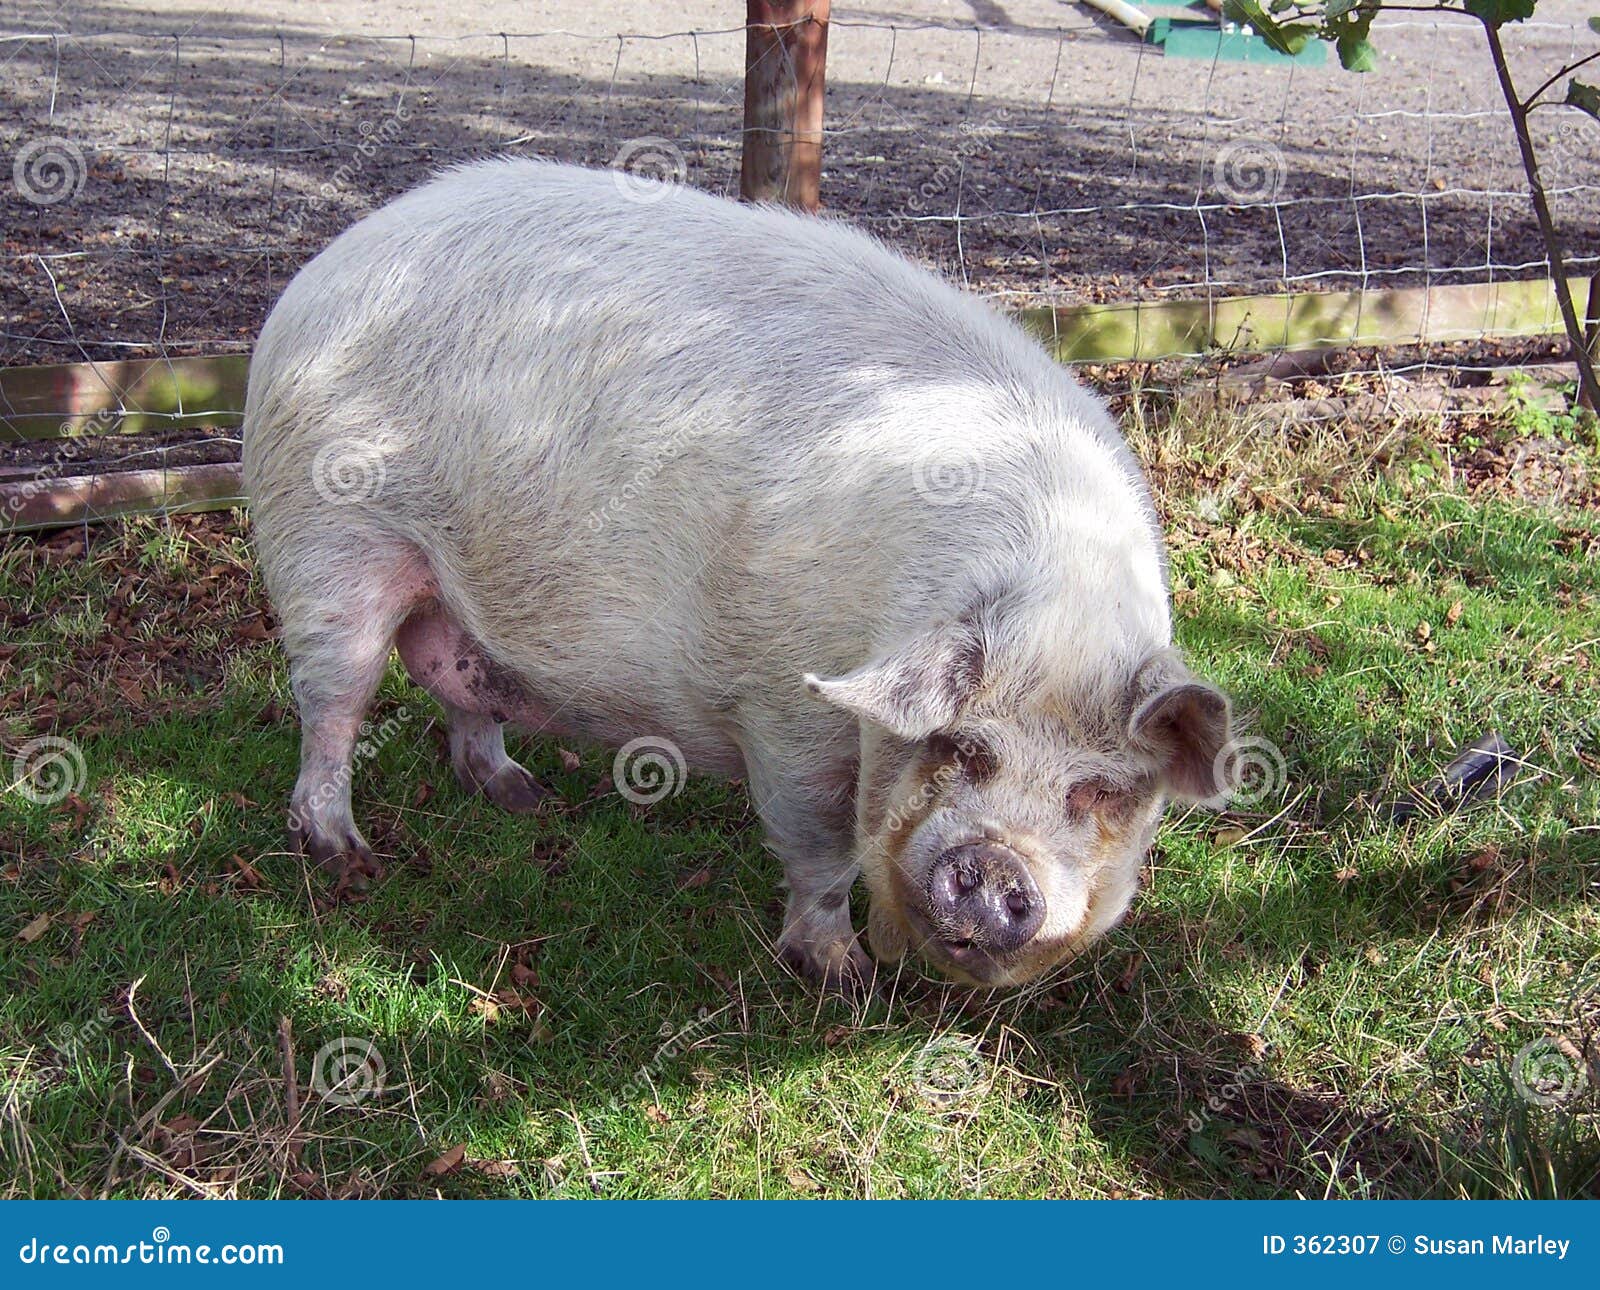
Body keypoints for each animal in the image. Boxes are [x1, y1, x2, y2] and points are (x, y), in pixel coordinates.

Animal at [241, 158, 1232, 991]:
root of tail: (320, 271)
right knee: (333, 706)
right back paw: (346, 858)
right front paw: (841, 977)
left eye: (1101, 790)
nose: (993, 869)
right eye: (959, 746)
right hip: (326, 542)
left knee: (458, 682)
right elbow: (819, 847)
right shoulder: (784, 708)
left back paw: (525, 799)